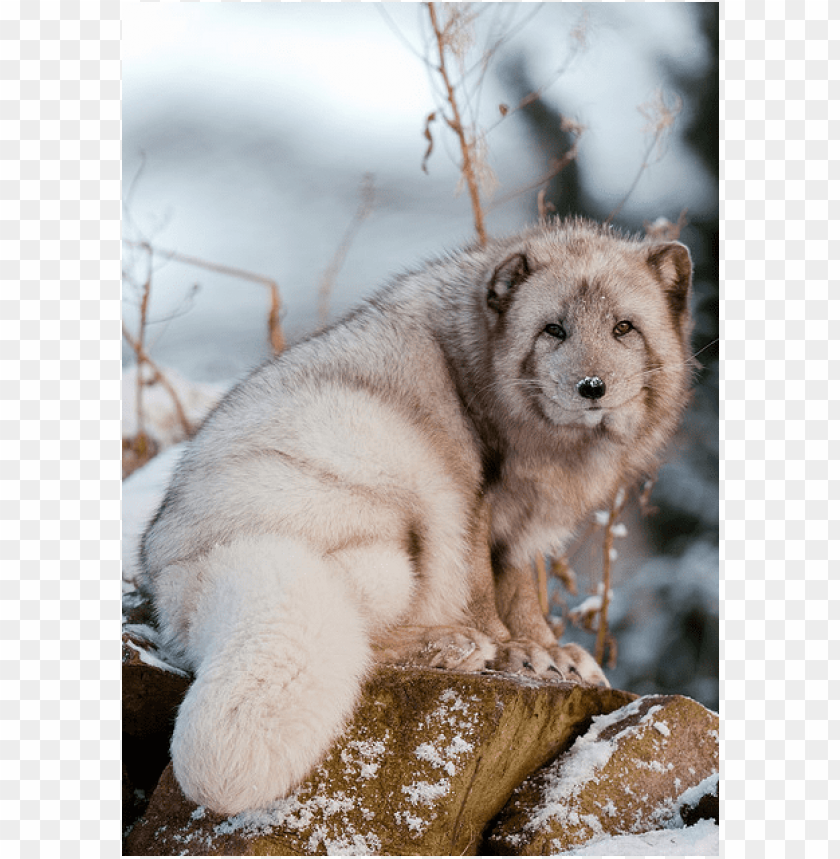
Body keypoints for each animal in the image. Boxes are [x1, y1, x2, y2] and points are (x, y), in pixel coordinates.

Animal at [138, 217, 695, 816]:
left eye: (623, 328)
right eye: (554, 330)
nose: (592, 387)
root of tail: (186, 582)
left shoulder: (521, 530)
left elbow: (523, 594)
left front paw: (553, 653)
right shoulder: (473, 502)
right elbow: (482, 592)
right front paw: (514, 651)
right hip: (394, 531)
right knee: (368, 644)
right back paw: (449, 644)